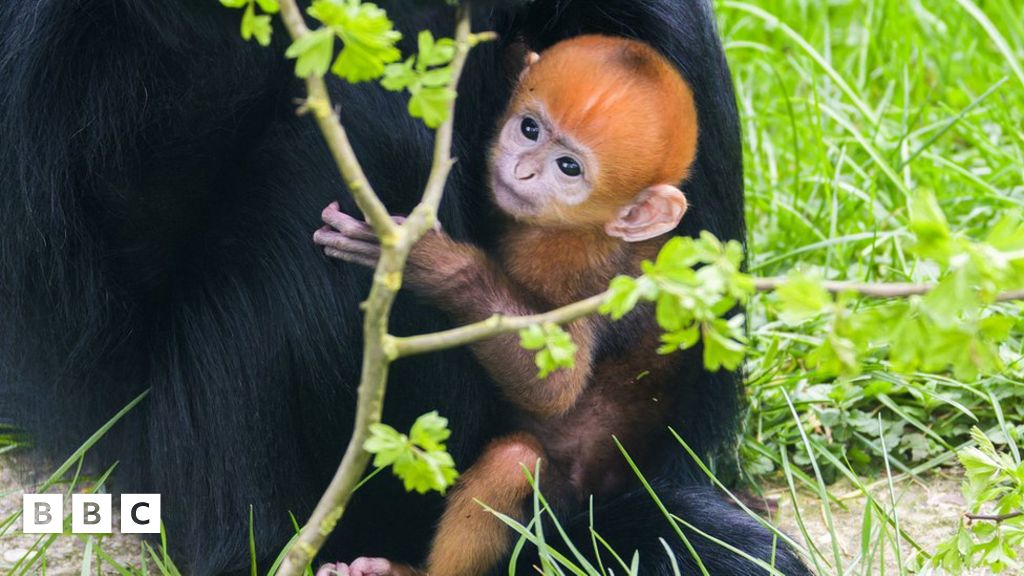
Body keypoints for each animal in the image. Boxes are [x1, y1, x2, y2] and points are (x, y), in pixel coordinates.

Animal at [313, 35, 703, 576]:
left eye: (569, 167)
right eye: (530, 128)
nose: (521, 170)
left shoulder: (575, 265)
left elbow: (555, 386)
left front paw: (427, 260)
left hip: (558, 518)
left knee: (514, 461)